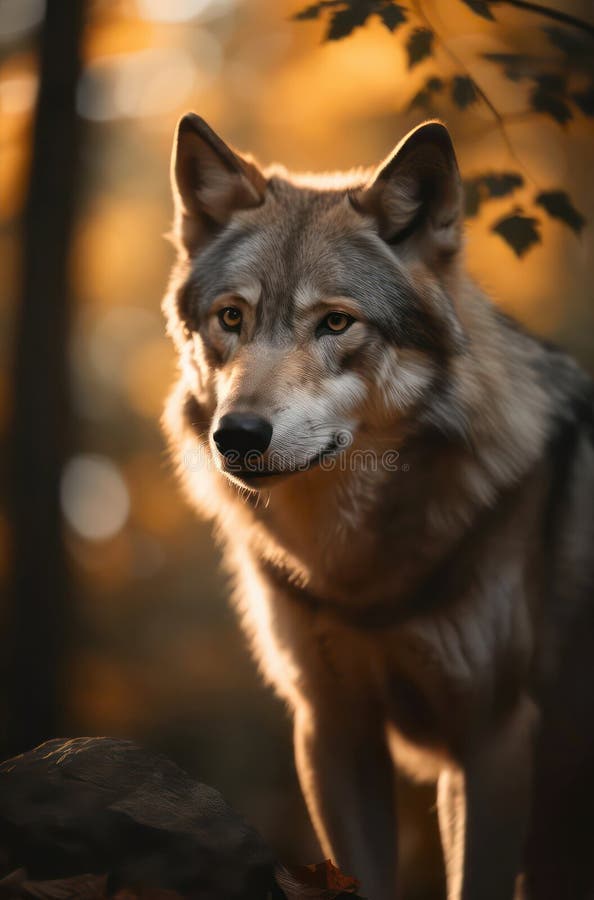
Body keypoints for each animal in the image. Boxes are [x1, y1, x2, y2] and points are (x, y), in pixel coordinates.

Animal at [162, 113, 594, 900]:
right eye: (231, 317)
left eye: (336, 324)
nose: (237, 435)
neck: (357, 572)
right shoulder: (332, 728)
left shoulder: (493, 741)